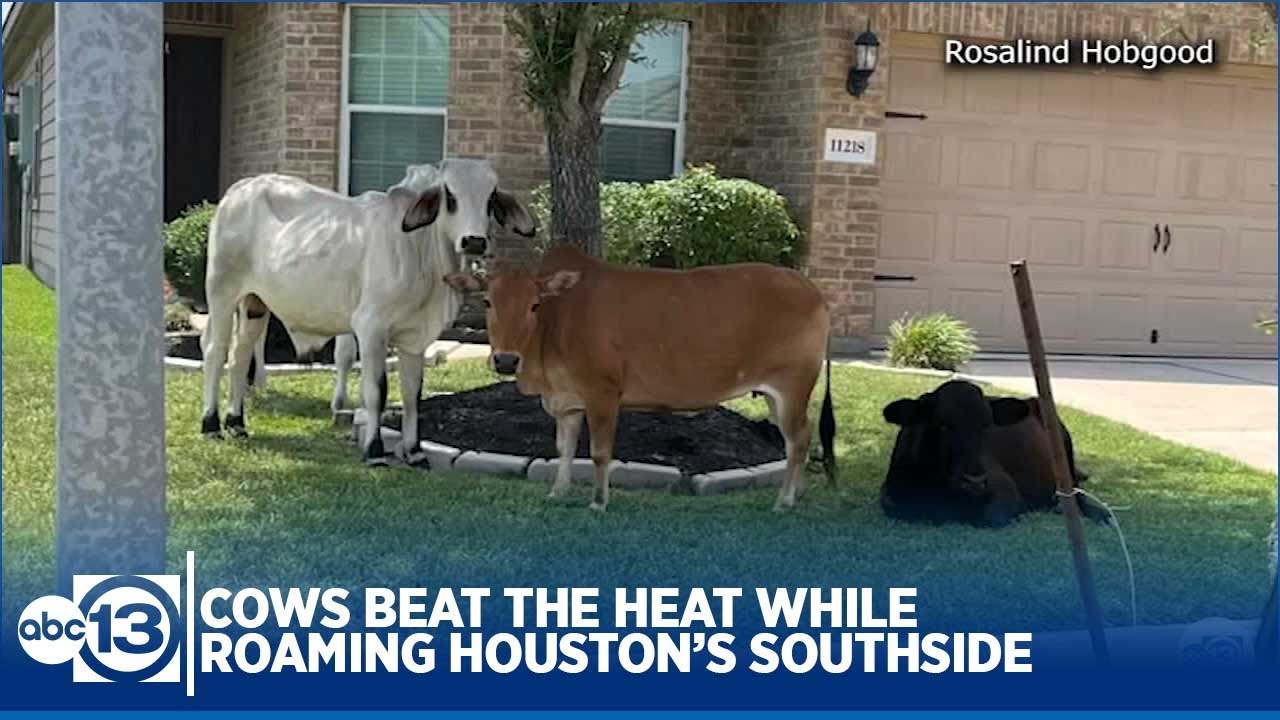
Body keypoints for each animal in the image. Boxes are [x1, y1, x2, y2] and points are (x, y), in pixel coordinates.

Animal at [201, 158, 535, 466]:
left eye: (491, 198)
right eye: (449, 195)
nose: (475, 241)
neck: (419, 250)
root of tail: (240, 189)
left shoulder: (415, 337)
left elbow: (412, 394)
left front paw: (414, 452)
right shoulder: (371, 328)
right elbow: (377, 390)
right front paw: (374, 450)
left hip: (254, 303)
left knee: (240, 355)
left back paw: (236, 423)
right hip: (222, 291)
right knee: (216, 352)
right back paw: (210, 424)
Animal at [443, 244, 838, 512]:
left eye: (534, 304)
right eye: (488, 302)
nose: (506, 360)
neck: (556, 325)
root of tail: (811, 289)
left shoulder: (603, 393)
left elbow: (600, 453)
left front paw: (598, 501)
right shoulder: (567, 402)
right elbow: (563, 449)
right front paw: (557, 491)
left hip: (792, 387)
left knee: (798, 442)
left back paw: (784, 501)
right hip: (776, 394)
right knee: (798, 442)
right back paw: (796, 494)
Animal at [879, 379, 1107, 528]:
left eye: (986, 425)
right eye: (942, 424)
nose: (975, 481)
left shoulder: (1004, 490)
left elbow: (991, 517)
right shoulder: (890, 495)